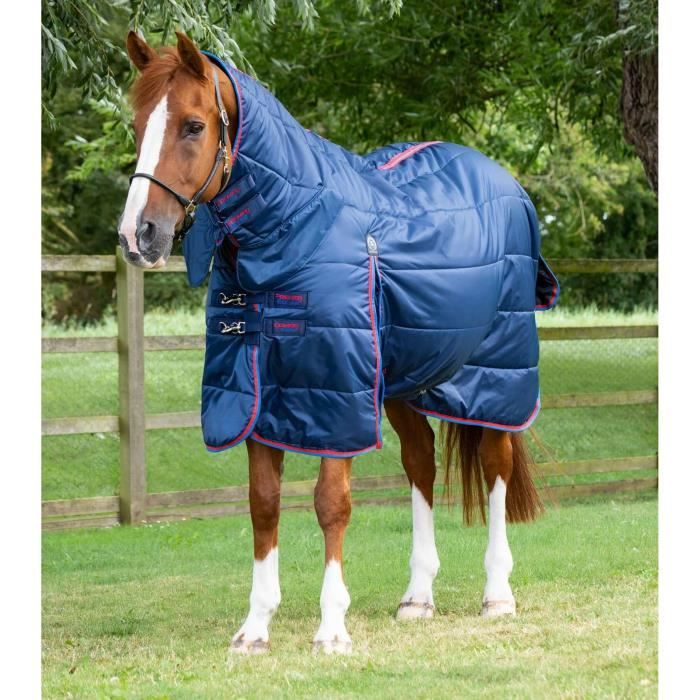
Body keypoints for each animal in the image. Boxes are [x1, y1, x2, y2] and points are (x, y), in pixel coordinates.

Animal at [118, 31, 554, 655]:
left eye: (194, 126)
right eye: (136, 125)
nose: (138, 235)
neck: (297, 223)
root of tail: (508, 185)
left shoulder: (336, 400)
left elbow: (330, 504)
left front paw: (331, 629)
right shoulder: (257, 396)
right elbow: (264, 504)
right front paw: (255, 629)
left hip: (495, 375)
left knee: (495, 467)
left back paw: (497, 595)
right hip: (404, 382)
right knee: (421, 463)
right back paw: (417, 597)